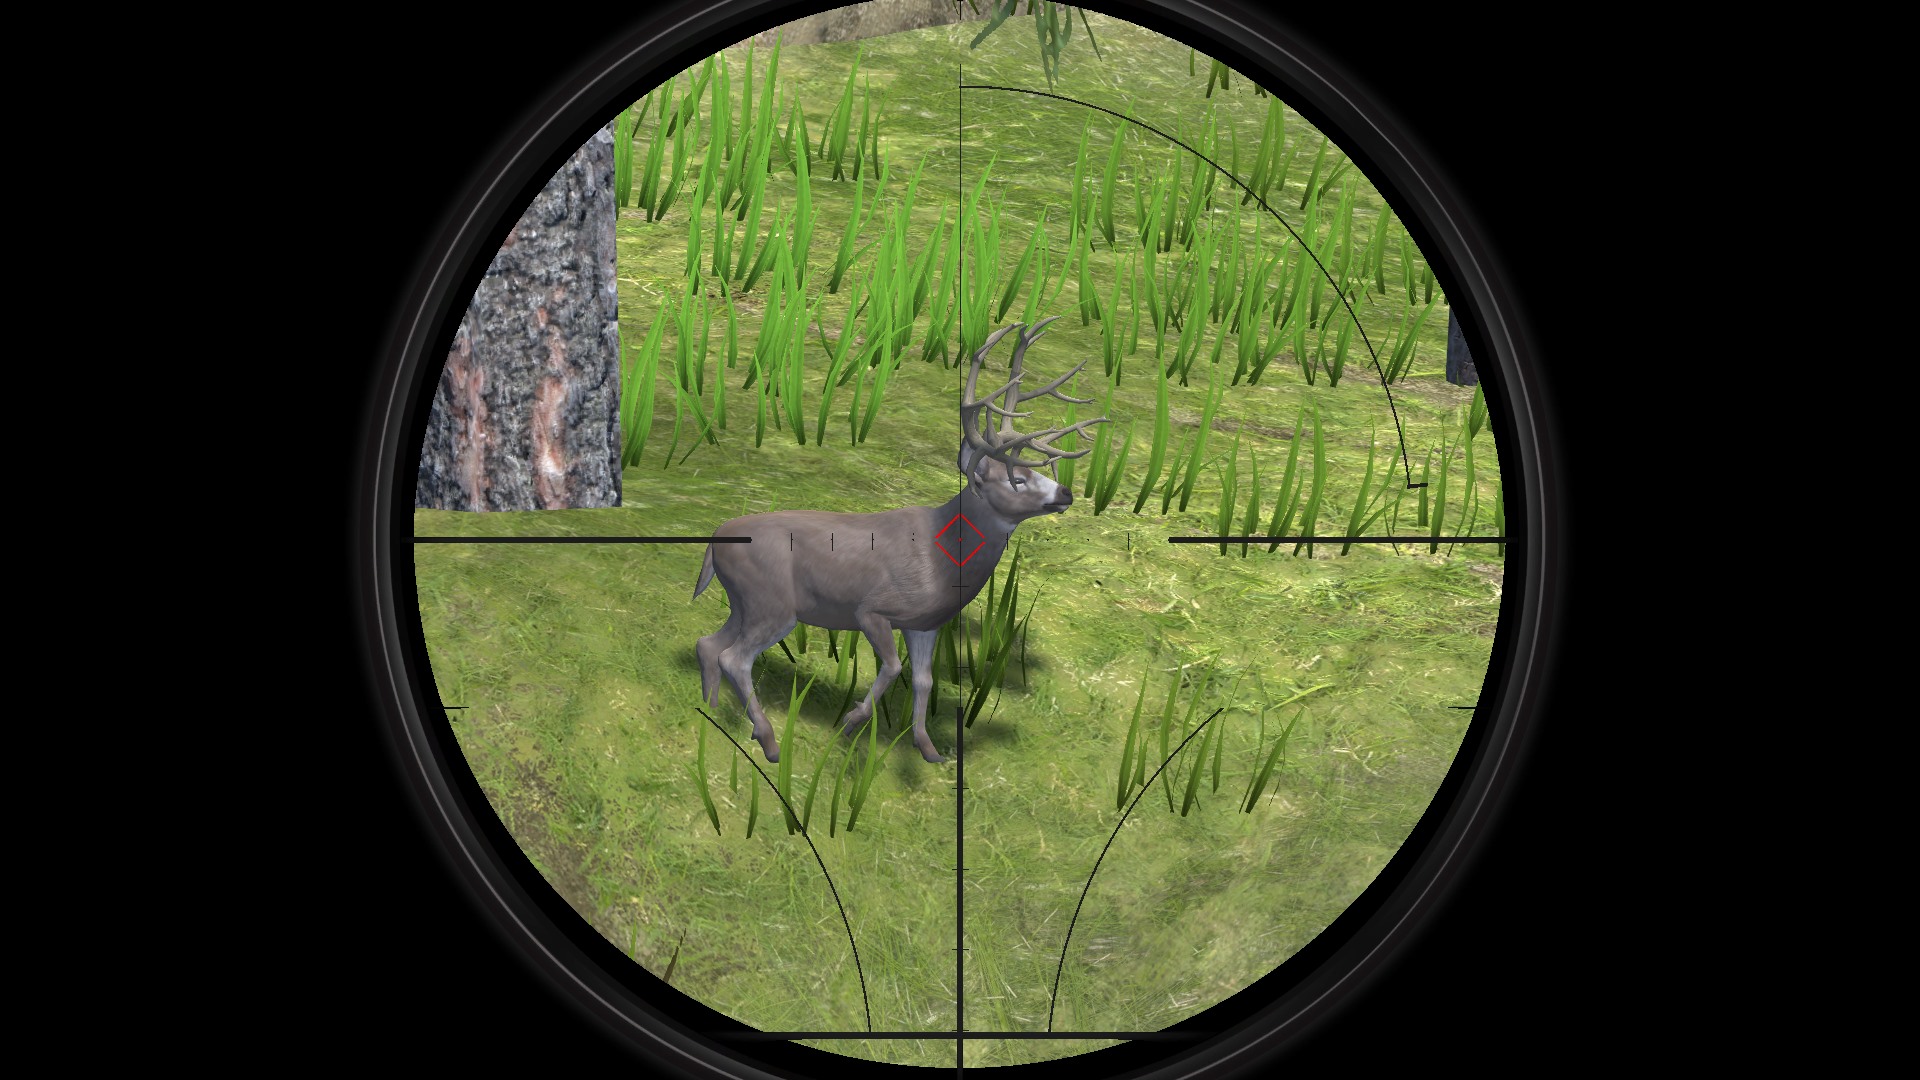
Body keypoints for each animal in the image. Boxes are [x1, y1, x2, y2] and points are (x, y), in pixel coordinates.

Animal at [692, 316, 1109, 765]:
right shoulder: (872, 608)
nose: (1066, 493)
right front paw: (852, 722)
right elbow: (892, 667)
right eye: (1017, 478)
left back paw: (714, 713)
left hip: (746, 602)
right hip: (774, 604)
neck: (944, 559)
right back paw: (768, 741)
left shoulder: (926, 623)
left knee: (708, 644)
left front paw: (929, 749)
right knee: (734, 657)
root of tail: (714, 539)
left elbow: (924, 680)